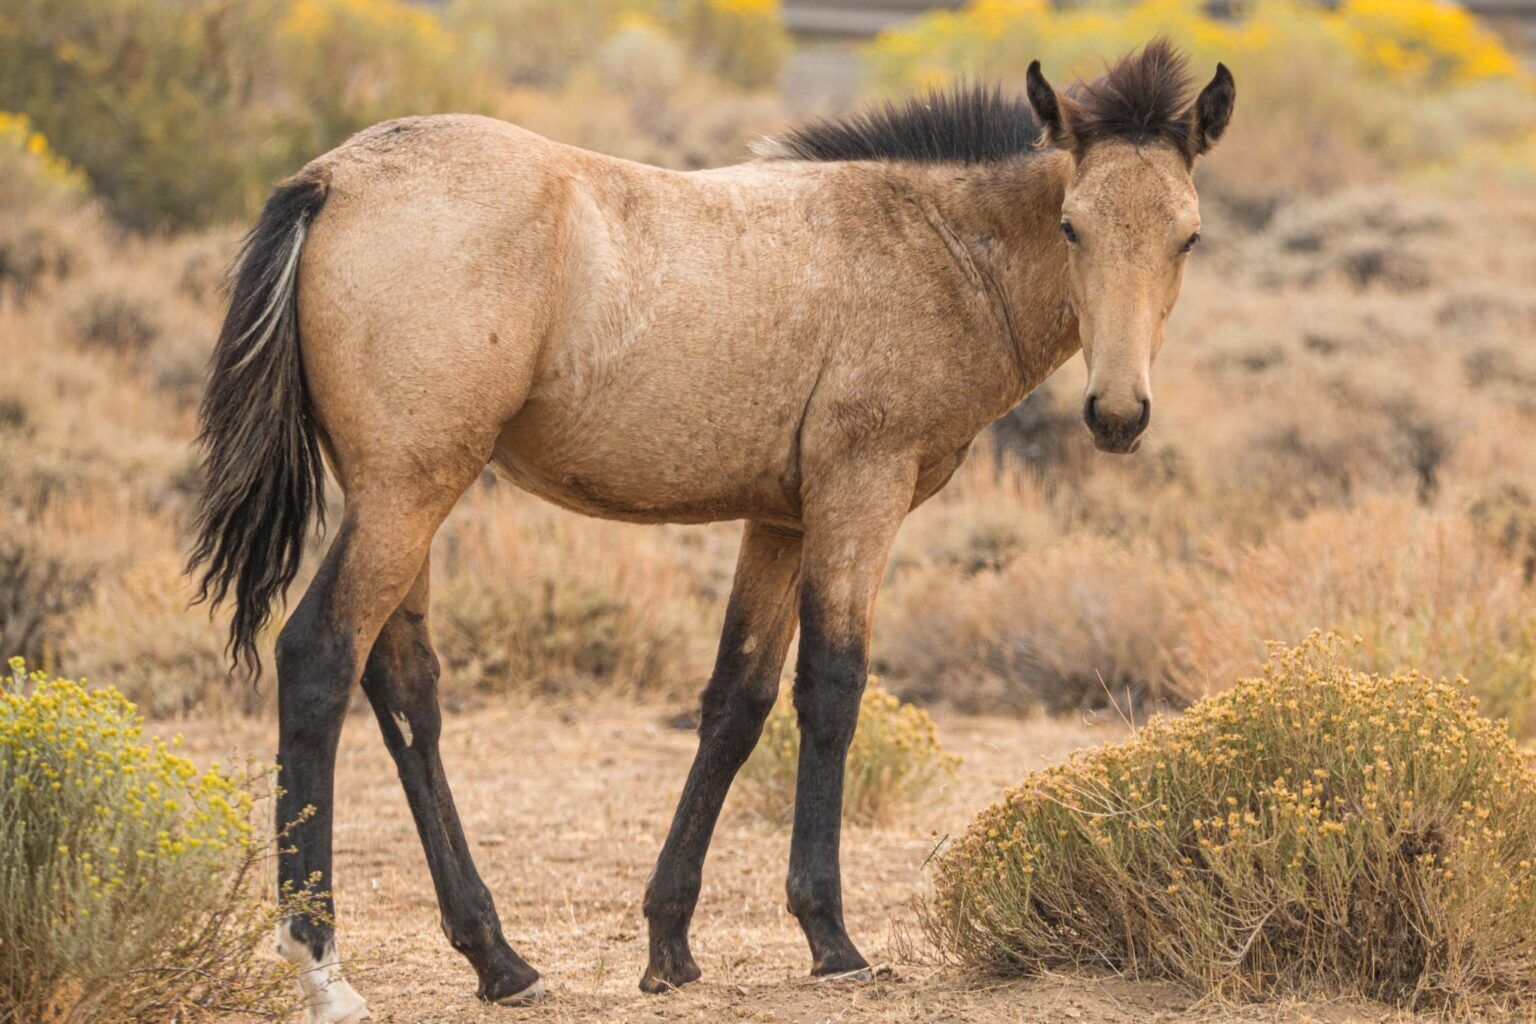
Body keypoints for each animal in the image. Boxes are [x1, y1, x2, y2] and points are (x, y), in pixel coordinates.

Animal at [187, 38, 1233, 1022]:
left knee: (406, 689)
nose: (1117, 414)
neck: (927, 244)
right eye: (1072, 224)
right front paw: (830, 937)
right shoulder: (861, 496)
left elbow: (738, 703)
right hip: (407, 494)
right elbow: (832, 691)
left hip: (398, 500)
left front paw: (669, 946)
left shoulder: (779, 521)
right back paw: (323, 967)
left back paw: (500, 961)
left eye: (1187, 237)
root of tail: (334, 178)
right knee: (320, 657)